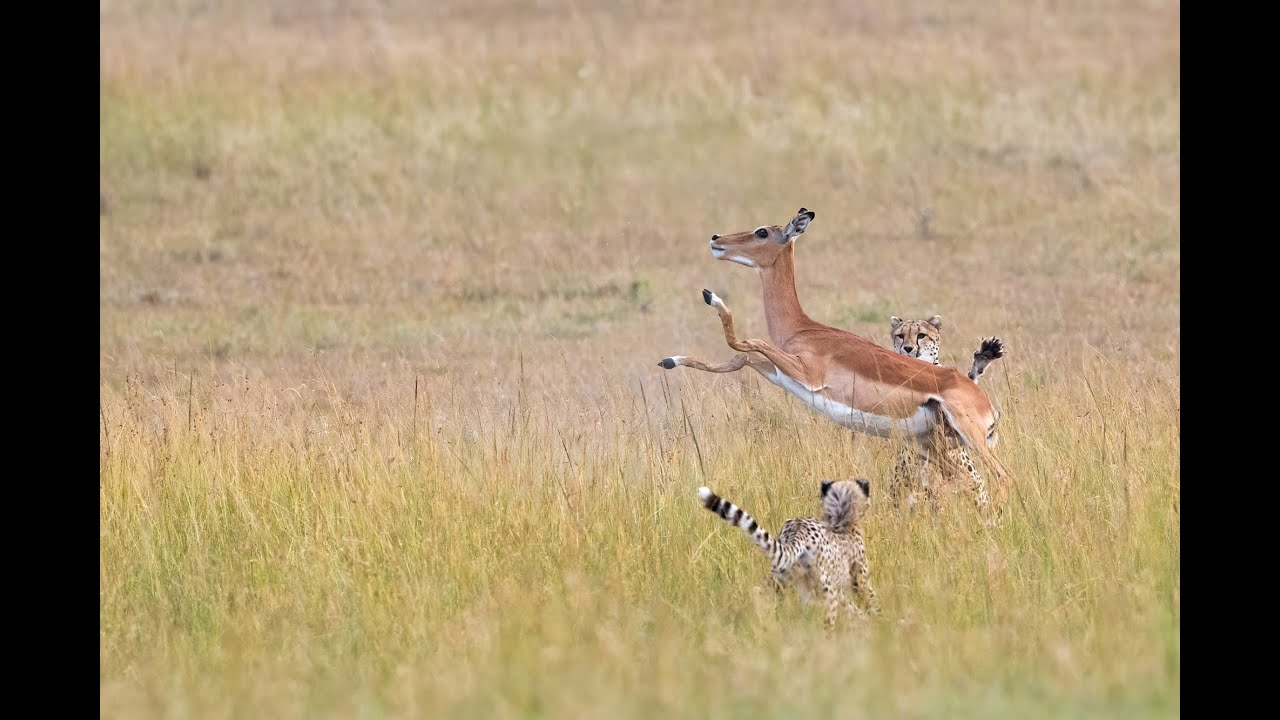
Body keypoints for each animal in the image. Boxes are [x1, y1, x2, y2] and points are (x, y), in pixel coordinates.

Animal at [697, 478, 880, 631]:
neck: (841, 517)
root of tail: (797, 530)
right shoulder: (859, 579)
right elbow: (871, 602)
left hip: (779, 578)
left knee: (760, 593)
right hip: (824, 592)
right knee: (827, 624)